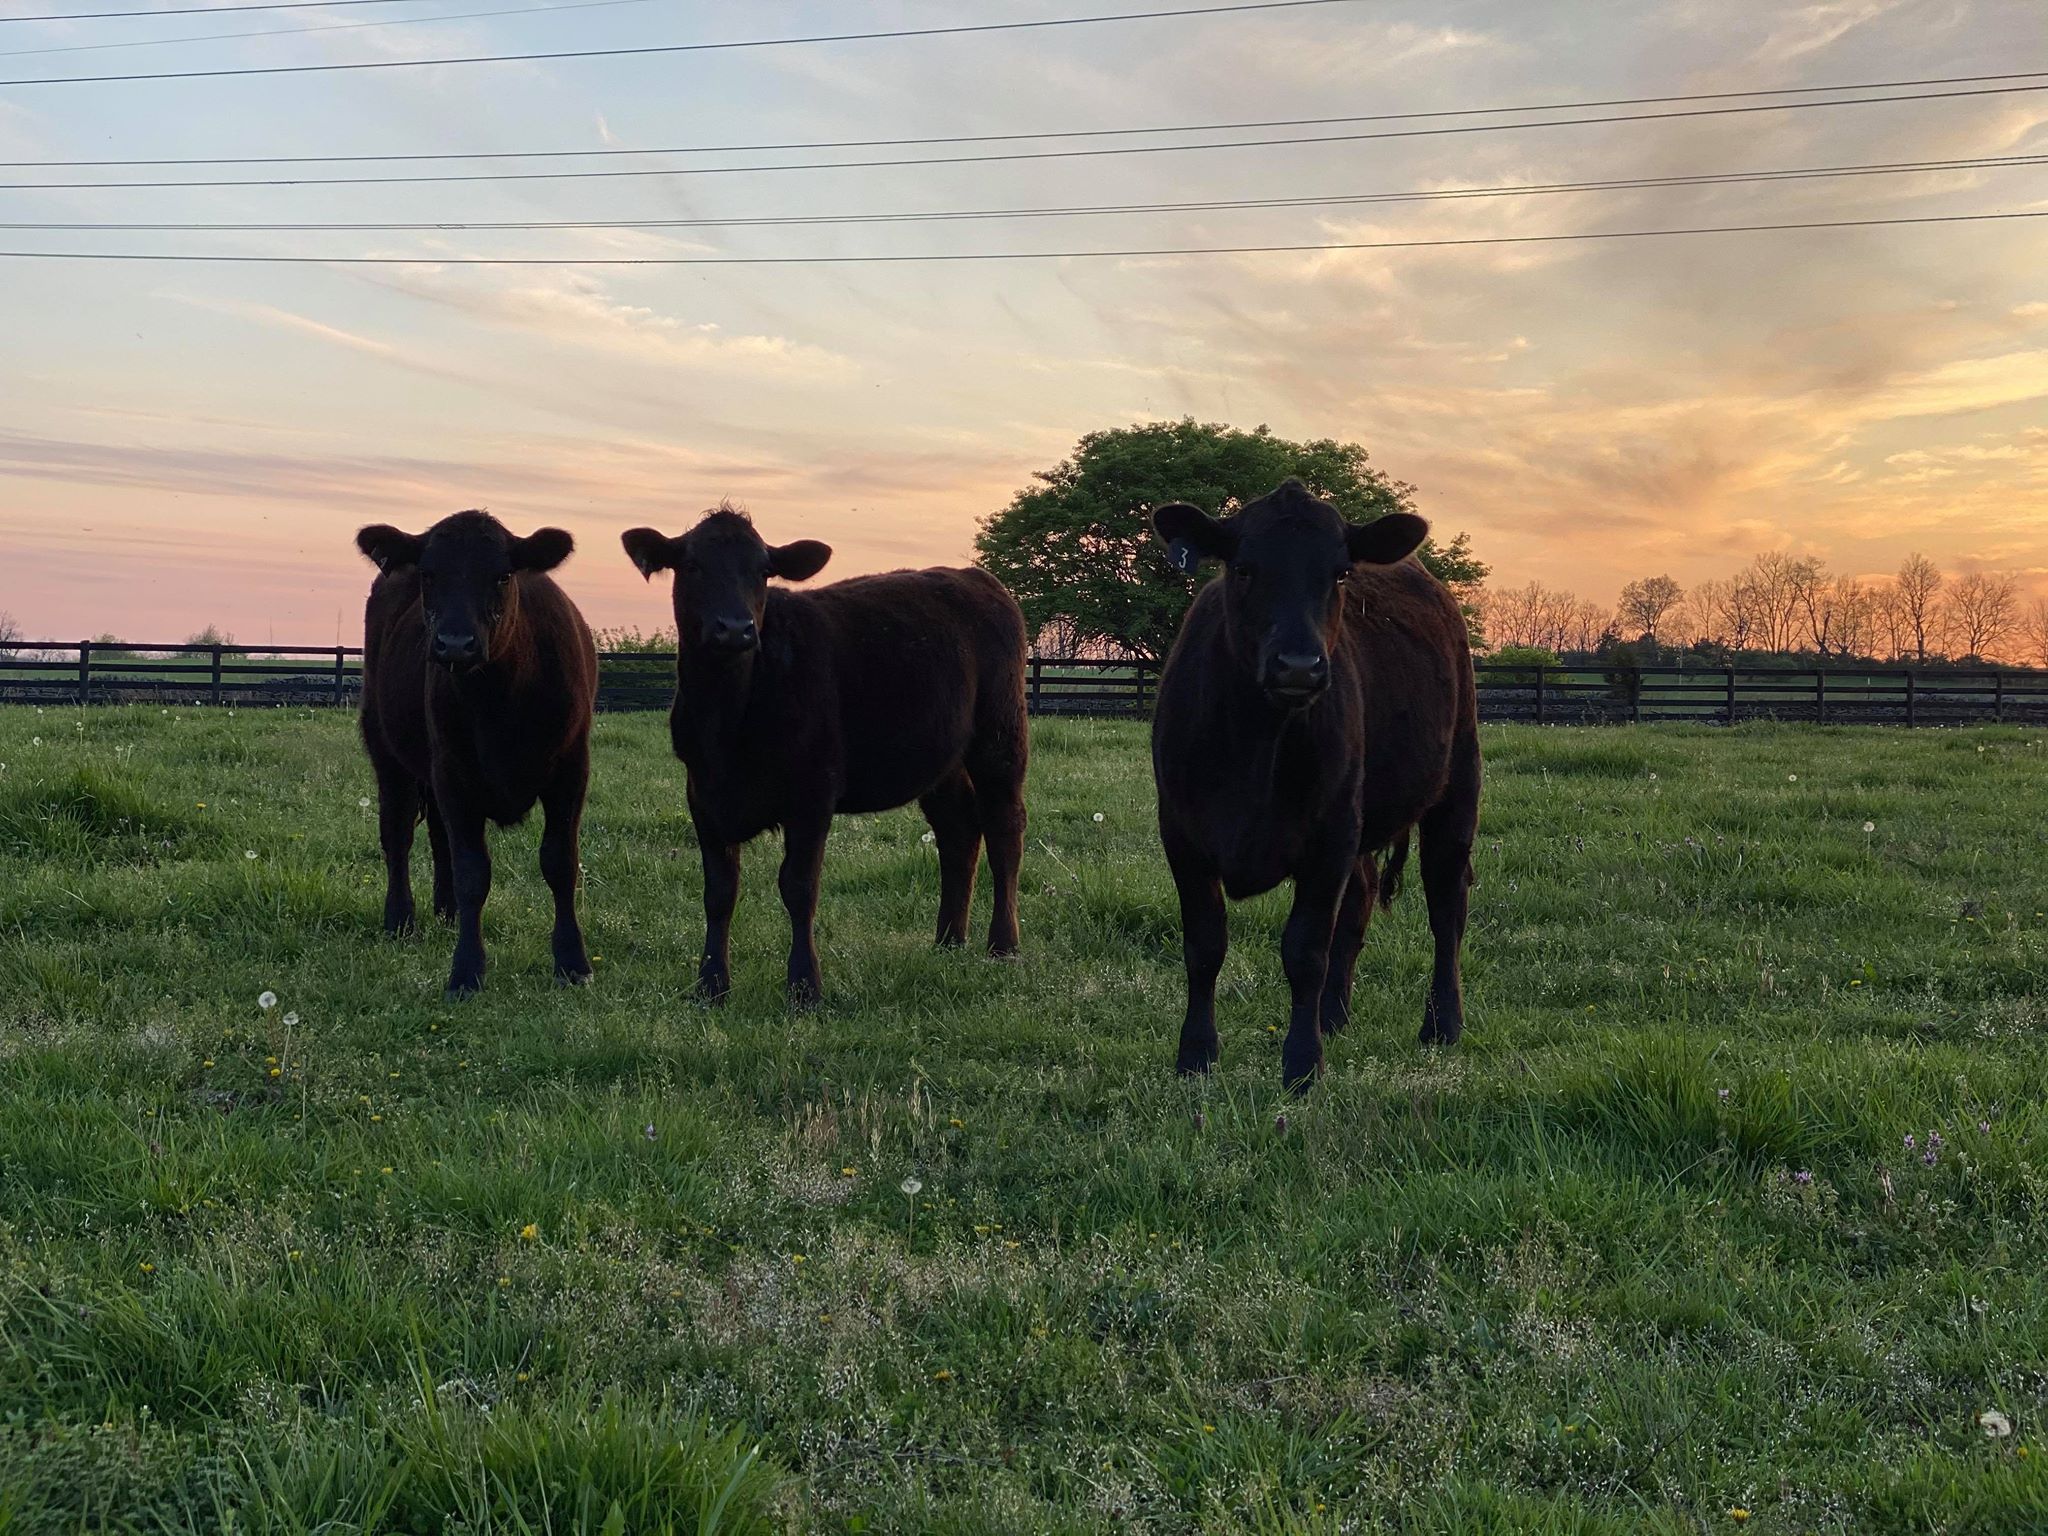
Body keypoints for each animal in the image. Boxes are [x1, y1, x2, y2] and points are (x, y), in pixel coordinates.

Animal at [355, 509, 598, 998]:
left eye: (503, 575)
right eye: (429, 574)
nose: (454, 643)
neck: (499, 700)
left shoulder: (570, 770)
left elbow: (560, 862)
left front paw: (572, 962)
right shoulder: (454, 773)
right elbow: (473, 873)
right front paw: (466, 971)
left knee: (437, 837)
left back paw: (446, 913)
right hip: (387, 751)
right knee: (398, 835)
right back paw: (400, 920)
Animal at [620, 505, 1028, 1005]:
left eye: (763, 570)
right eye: (692, 565)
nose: (736, 628)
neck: (728, 722)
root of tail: (975, 577)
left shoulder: (813, 791)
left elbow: (799, 888)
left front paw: (804, 986)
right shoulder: (702, 793)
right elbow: (719, 891)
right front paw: (710, 985)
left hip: (1000, 734)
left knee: (1004, 827)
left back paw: (1003, 944)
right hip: (941, 759)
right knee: (959, 832)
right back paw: (948, 941)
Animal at [1149, 479, 1480, 1091]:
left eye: (1341, 573)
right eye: (1244, 568)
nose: (1299, 667)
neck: (1256, 746)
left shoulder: (1329, 838)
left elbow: (1305, 951)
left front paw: (1302, 1065)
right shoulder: (1182, 834)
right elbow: (1204, 946)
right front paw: (1196, 1056)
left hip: (1457, 783)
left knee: (1446, 905)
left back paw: (1442, 1024)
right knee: (1362, 898)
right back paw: (1333, 1016)